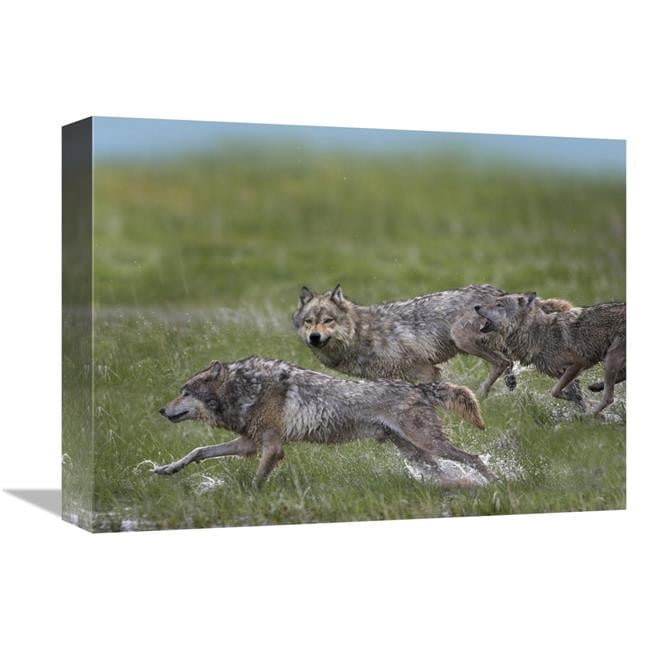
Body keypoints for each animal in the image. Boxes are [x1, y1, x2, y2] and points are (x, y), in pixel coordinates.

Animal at [155, 356, 494, 487]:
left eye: (185, 392)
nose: (160, 410)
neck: (246, 389)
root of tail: (417, 388)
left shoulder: (272, 448)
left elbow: (256, 482)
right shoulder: (248, 443)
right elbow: (198, 451)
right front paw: (166, 469)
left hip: (429, 444)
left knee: (474, 458)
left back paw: (497, 483)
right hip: (416, 453)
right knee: (446, 472)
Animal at [293, 284, 572, 397]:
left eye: (328, 320)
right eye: (309, 321)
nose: (314, 337)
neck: (361, 334)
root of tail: (499, 292)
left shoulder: (426, 371)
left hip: (461, 338)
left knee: (503, 362)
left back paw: (483, 393)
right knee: (510, 363)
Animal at [475, 293, 625, 415]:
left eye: (499, 304)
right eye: (494, 301)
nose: (476, 306)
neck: (539, 335)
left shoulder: (578, 363)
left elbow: (555, 391)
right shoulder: (563, 373)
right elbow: (572, 395)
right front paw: (579, 401)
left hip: (611, 359)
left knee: (608, 398)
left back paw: (588, 416)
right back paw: (596, 388)